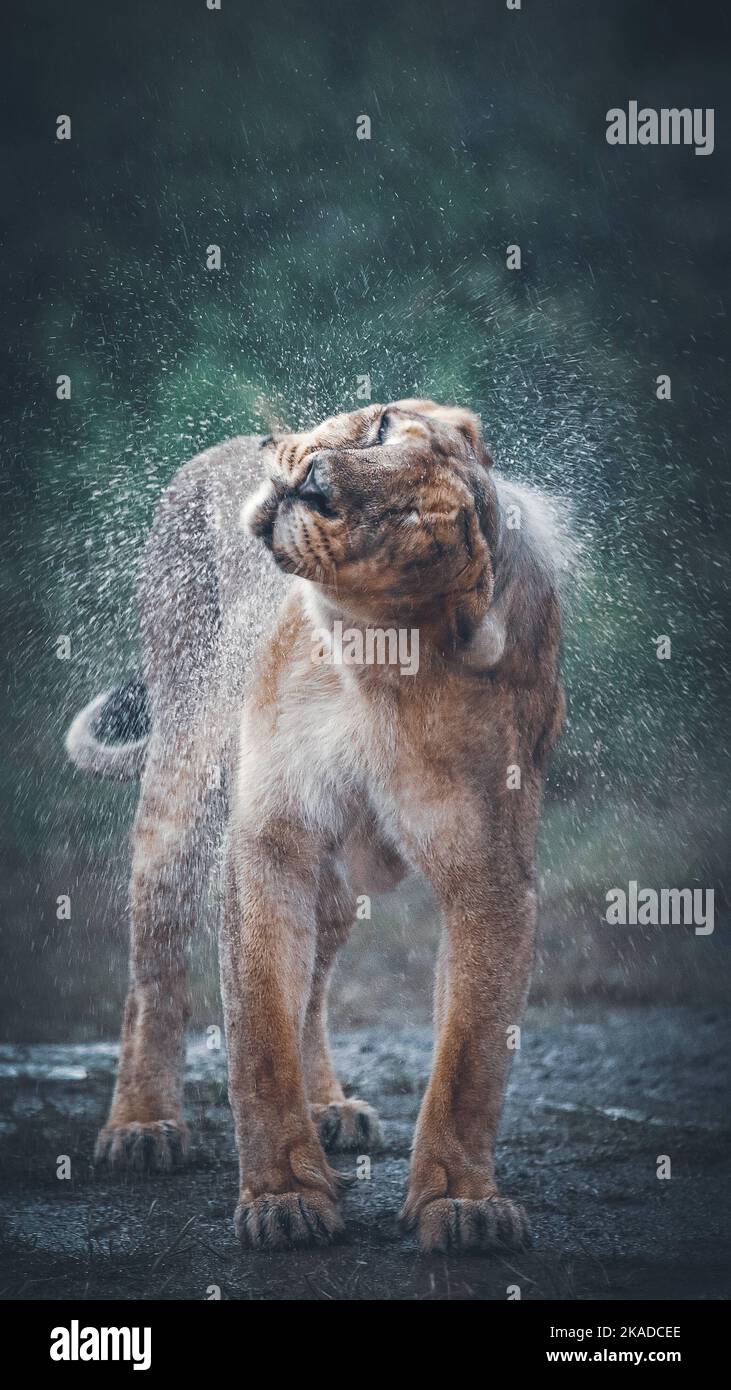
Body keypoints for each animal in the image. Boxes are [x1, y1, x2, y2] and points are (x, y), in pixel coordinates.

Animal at [65, 399, 566, 1254]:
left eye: (412, 518)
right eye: (382, 427)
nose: (315, 481)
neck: (377, 663)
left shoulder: (490, 873)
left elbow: (469, 1056)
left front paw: (460, 1204)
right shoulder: (269, 837)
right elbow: (259, 1032)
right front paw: (283, 1199)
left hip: (346, 869)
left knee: (316, 982)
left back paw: (329, 1108)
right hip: (182, 778)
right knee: (154, 972)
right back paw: (142, 1126)